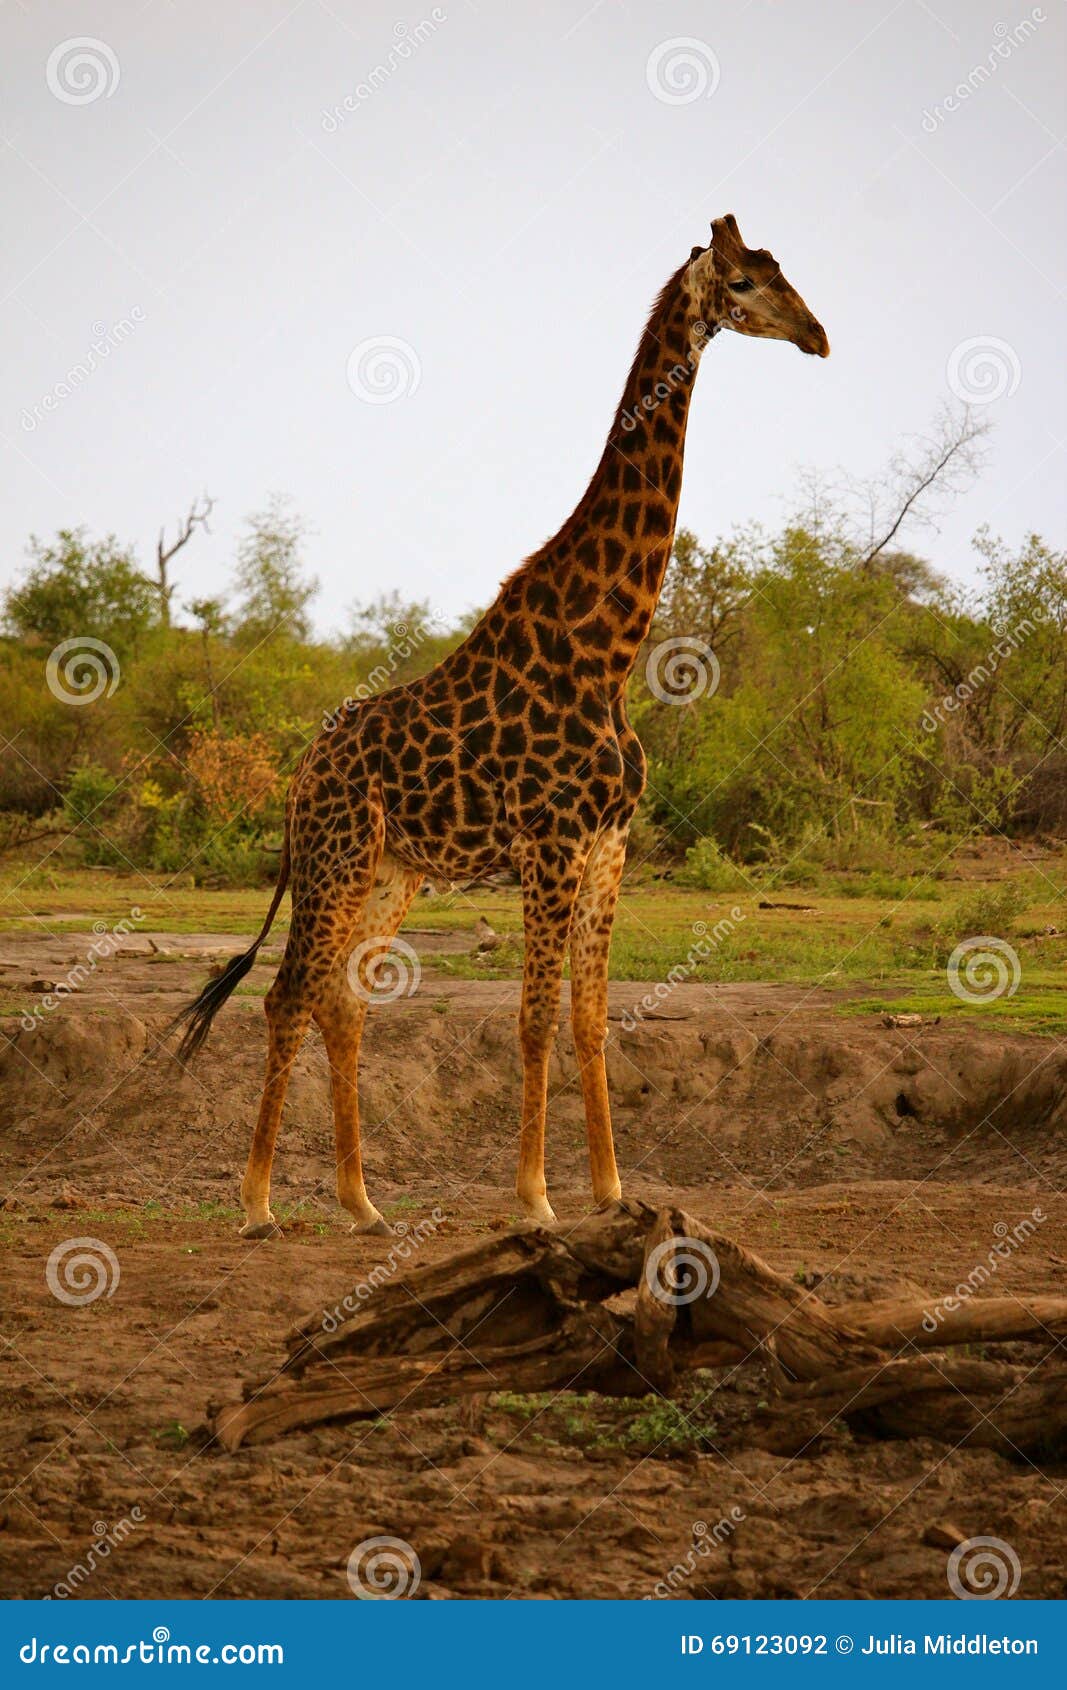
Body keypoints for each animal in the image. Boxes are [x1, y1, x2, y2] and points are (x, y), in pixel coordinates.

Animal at [172, 213, 828, 1239]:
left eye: (780, 273)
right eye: (748, 282)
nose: (818, 336)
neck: (608, 652)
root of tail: (299, 772)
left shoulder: (608, 844)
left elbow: (592, 1017)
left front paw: (612, 1193)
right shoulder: (552, 843)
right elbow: (533, 1019)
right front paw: (535, 1200)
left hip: (391, 869)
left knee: (340, 1003)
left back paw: (362, 1204)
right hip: (333, 857)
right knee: (286, 996)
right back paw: (258, 1205)